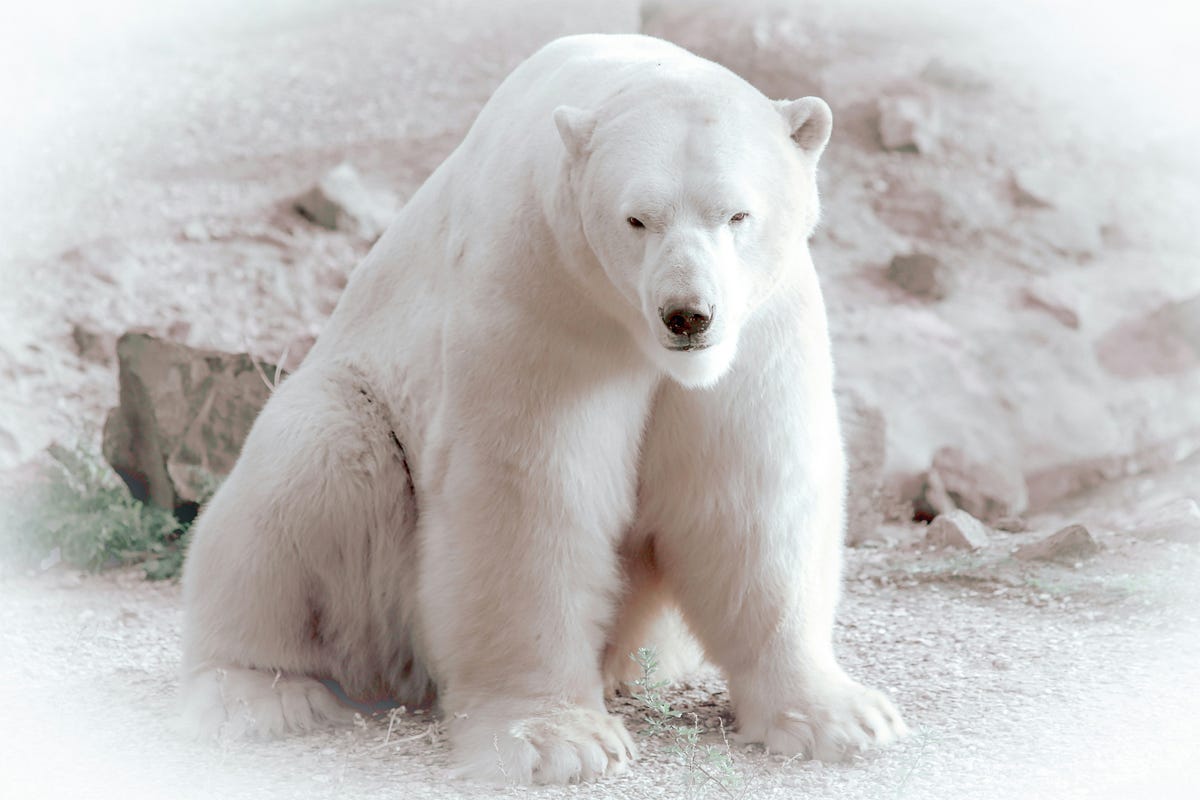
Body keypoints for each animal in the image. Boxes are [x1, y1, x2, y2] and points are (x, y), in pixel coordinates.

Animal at [178, 33, 908, 784]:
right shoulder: (543, 295)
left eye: (737, 215)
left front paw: (843, 719)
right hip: (357, 460)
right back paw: (263, 694)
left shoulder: (762, 327)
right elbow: (532, 493)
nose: (687, 315)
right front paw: (560, 741)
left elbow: (749, 491)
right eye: (636, 218)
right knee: (310, 468)